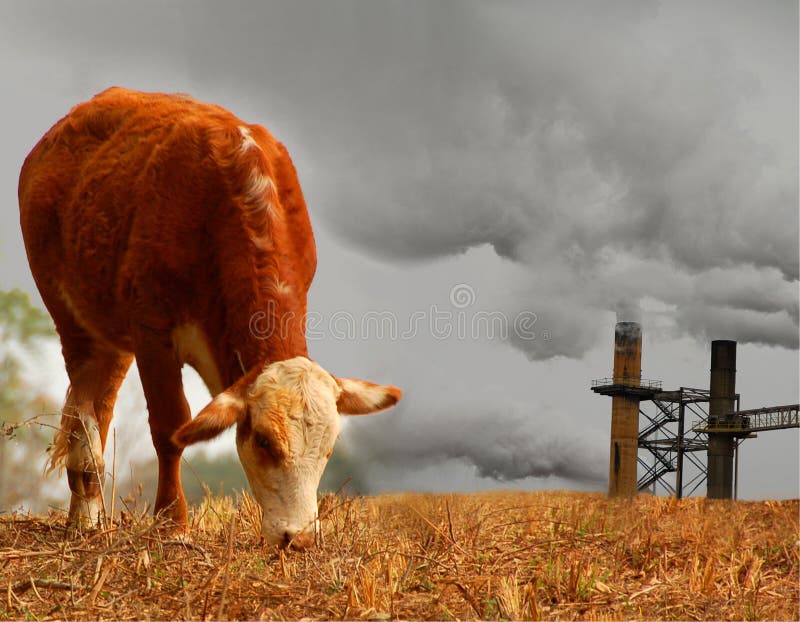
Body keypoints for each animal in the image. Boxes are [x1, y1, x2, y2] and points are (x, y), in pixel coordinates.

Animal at [18, 87, 401, 548]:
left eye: (329, 446)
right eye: (264, 440)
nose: (299, 538)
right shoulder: (153, 331)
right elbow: (169, 427)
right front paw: (172, 521)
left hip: (113, 334)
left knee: (102, 400)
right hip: (72, 317)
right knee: (85, 401)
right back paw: (83, 511)